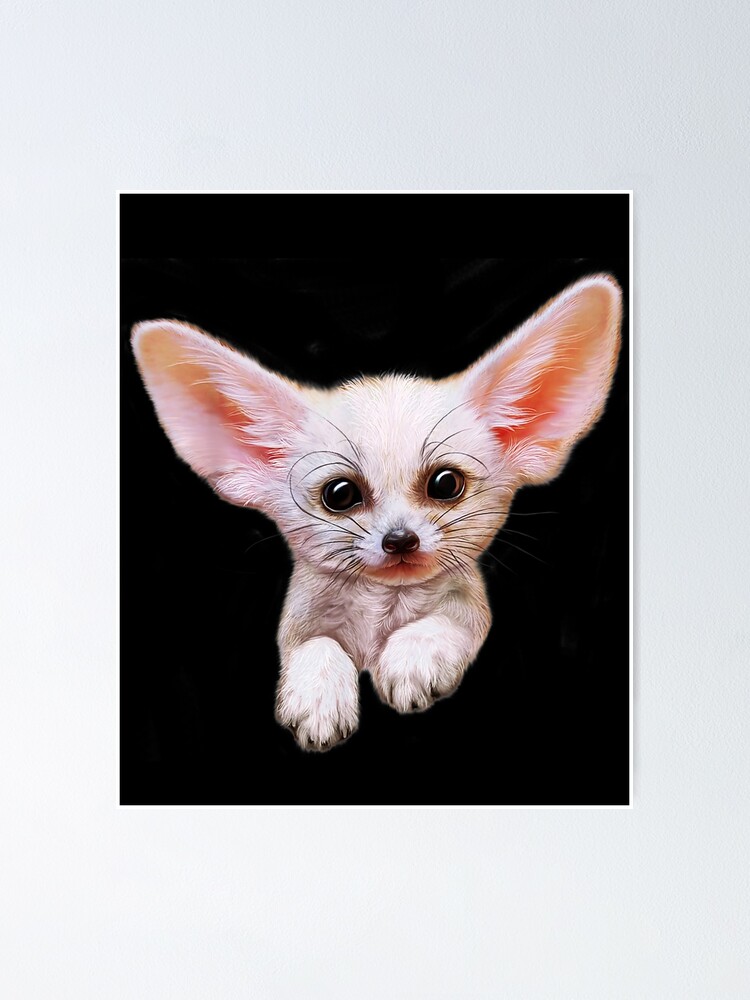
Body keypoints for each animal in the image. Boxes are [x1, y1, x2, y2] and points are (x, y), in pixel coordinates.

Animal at [131, 274, 622, 752]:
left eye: (446, 484)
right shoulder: (298, 627)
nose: (400, 539)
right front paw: (318, 698)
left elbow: (443, 622)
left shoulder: (471, 612)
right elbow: (317, 644)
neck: (381, 614)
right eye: (340, 494)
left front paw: (413, 659)